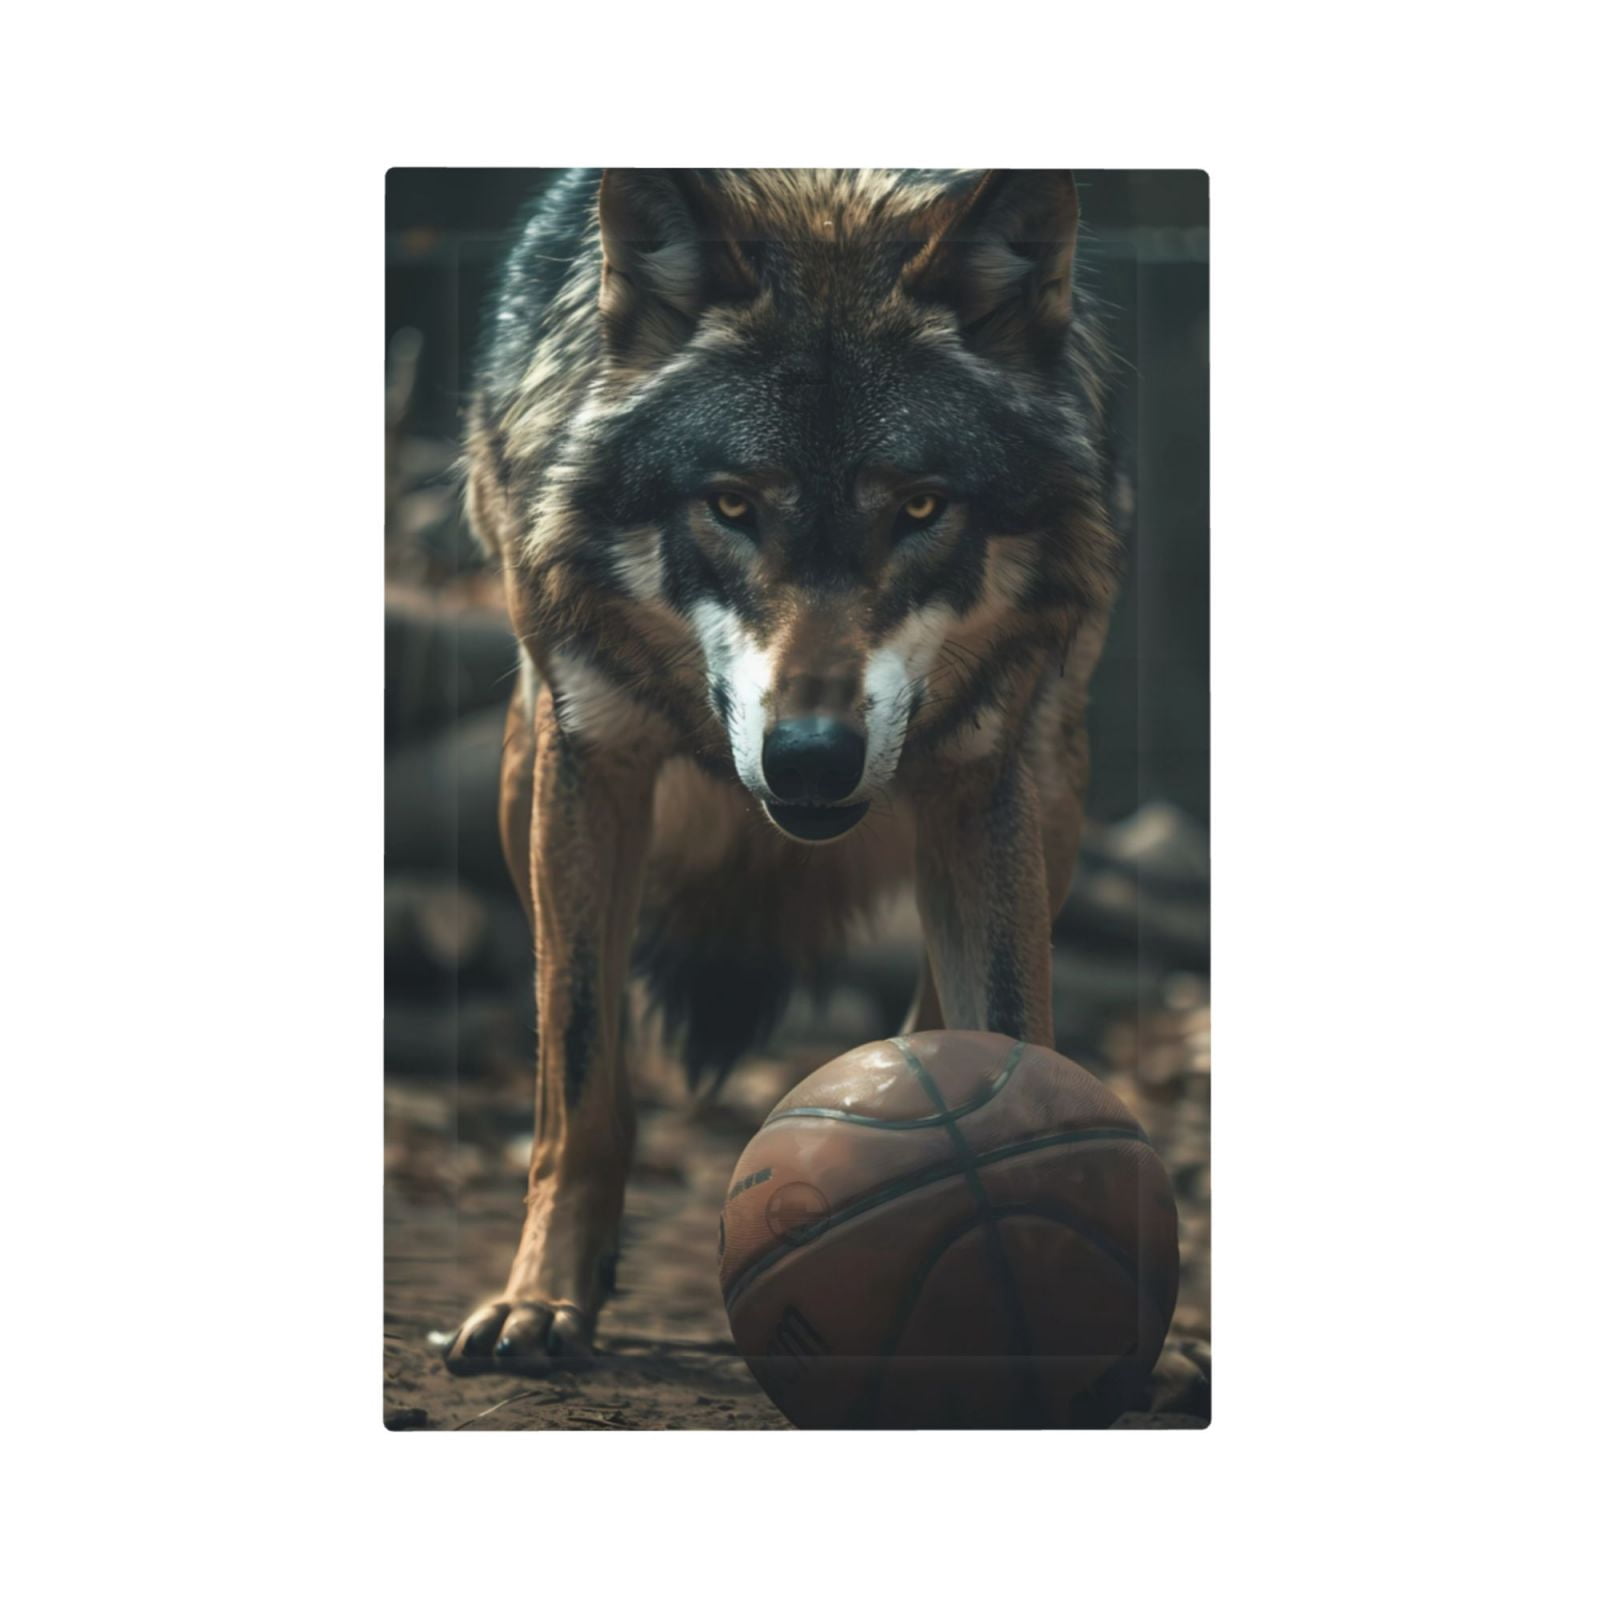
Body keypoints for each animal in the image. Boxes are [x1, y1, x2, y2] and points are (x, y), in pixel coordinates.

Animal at [445, 168, 1120, 1371]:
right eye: (731, 505)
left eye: (918, 507)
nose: (810, 758)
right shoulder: (592, 757)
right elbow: (579, 1076)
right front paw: (542, 1298)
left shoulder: (983, 777)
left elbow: (1010, 1029)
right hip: (528, 761)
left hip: (1050, 784)